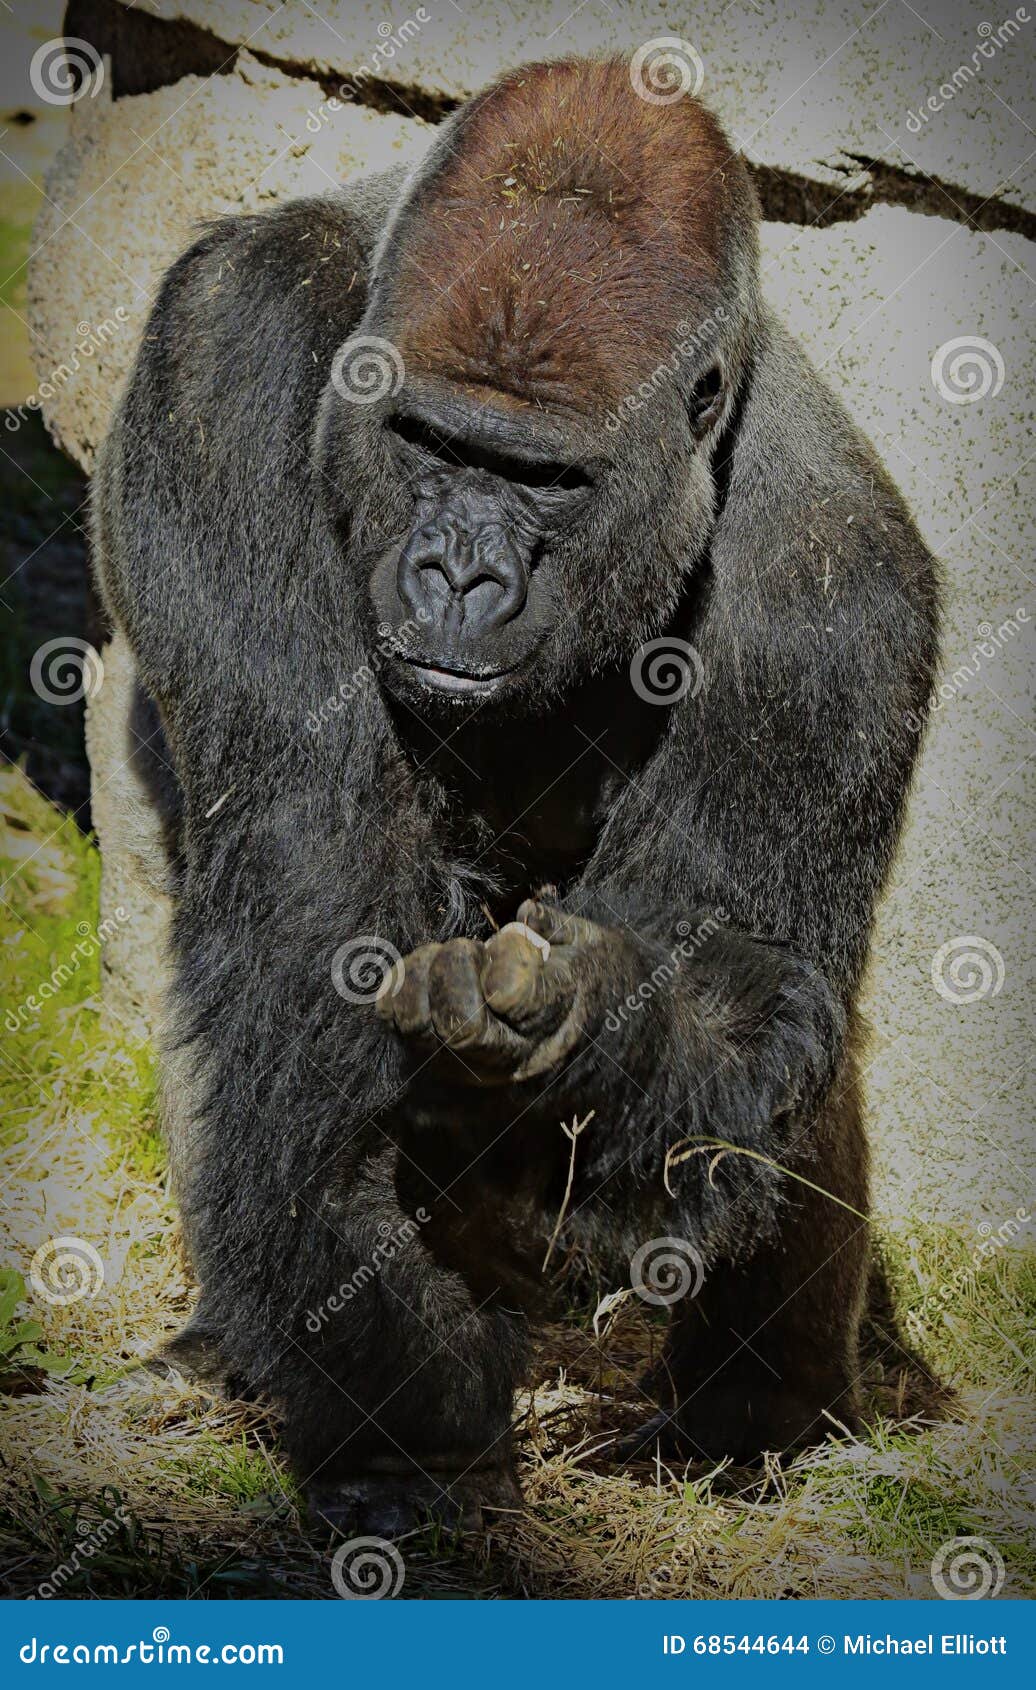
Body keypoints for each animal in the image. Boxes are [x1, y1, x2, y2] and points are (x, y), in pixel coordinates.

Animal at [93, 56, 939, 1535]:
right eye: (431, 442)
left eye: (545, 478)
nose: (459, 575)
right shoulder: (224, 344)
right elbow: (316, 861)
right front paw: (394, 1362)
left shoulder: (840, 588)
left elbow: (738, 989)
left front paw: (595, 1025)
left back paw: (757, 1414)